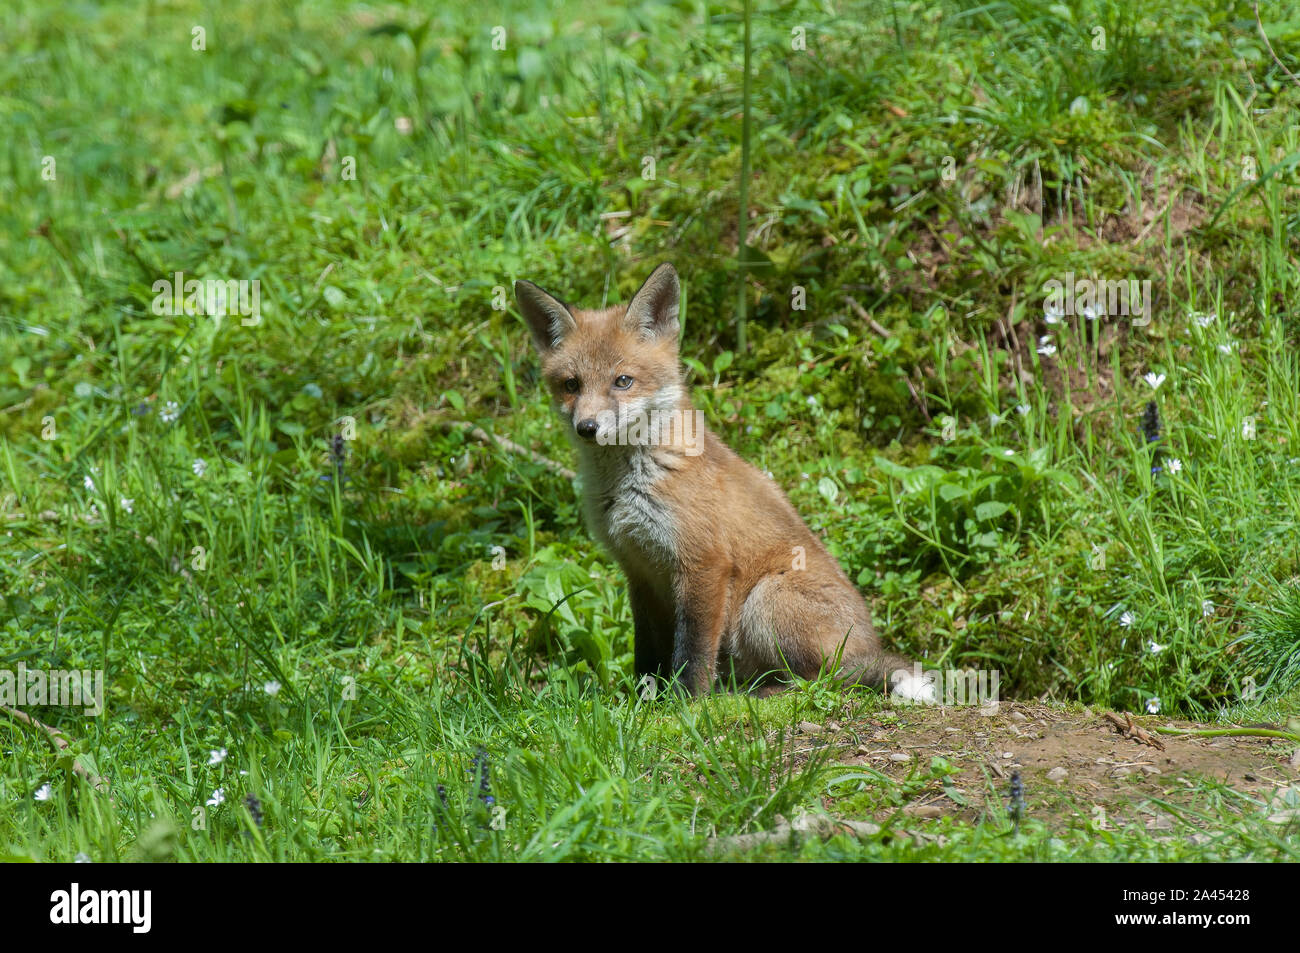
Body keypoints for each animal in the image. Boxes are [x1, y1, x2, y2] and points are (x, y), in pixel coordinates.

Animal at [515, 263, 934, 701]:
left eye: (623, 381)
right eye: (571, 384)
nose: (587, 428)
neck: (631, 484)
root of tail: (867, 646)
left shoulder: (704, 563)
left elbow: (694, 650)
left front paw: (685, 702)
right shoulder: (639, 571)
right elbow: (646, 650)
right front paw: (642, 698)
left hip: (765, 600)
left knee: (822, 679)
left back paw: (754, 693)